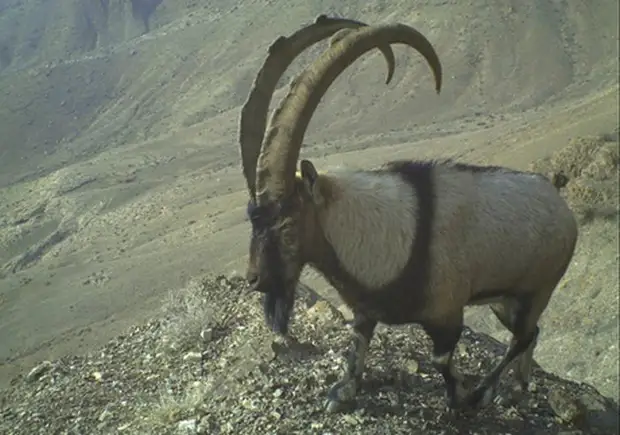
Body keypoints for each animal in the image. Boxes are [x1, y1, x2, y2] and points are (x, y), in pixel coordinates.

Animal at [240, 21, 580, 416]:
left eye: (288, 222)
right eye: (252, 219)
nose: (255, 279)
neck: (385, 235)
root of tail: (561, 207)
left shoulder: (446, 315)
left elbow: (440, 359)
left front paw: (461, 396)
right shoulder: (365, 310)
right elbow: (358, 342)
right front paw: (343, 392)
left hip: (537, 289)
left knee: (522, 336)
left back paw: (486, 392)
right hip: (503, 301)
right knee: (530, 334)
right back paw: (516, 389)